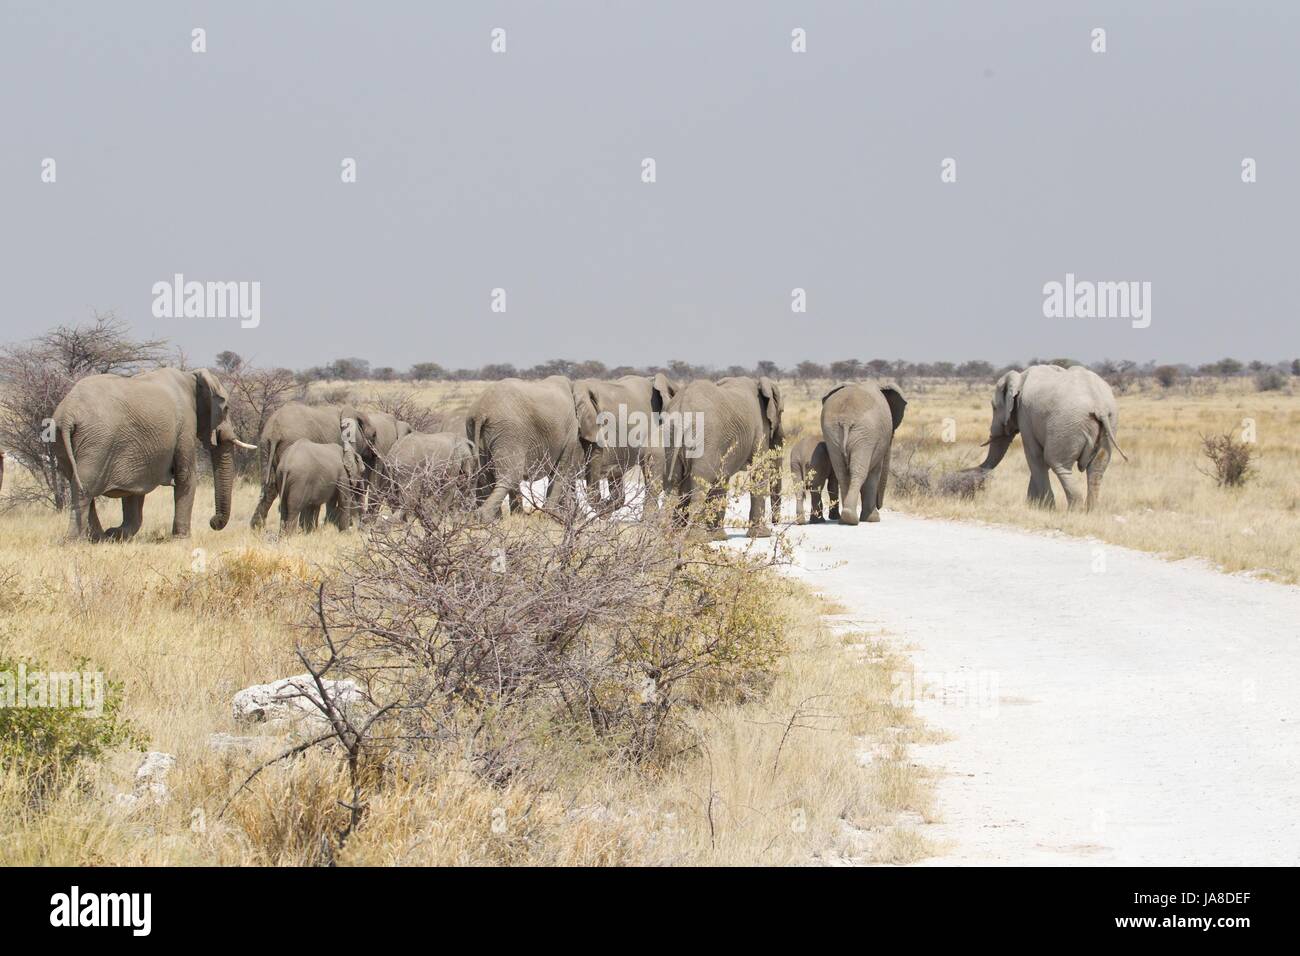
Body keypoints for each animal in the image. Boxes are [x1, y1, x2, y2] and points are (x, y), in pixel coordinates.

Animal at [52, 367, 257, 541]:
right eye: (226, 409)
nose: (213, 521)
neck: (191, 377)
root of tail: (68, 413)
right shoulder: (185, 425)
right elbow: (186, 476)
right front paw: (182, 539)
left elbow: (134, 490)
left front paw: (117, 534)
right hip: (97, 441)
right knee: (84, 487)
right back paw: (76, 541)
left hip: (62, 440)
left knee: (81, 485)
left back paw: (99, 538)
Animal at [465, 376, 592, 521]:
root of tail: (480, 411)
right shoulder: (571, 431)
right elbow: (561, 472)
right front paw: (550, 517)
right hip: (510, 432)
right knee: (511, 475)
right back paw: (486, 518)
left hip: (477, 432)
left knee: (486, 477)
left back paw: (498, 518)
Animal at [663, 376, 783, 540]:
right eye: (781, 412)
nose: (776, 523)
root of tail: (683, 405)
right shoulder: (760, 429)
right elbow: (759, 470)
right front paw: (762, 535)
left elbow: (721, 478)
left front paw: (718, 537)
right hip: (705, 438)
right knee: (699, 485)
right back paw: (696, 538)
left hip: (671, 435)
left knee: (673, 484)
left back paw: (667, 537)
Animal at [820, 382, 907, 525]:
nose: (879, 505)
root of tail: (846, 419)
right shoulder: (874, 441)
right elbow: (874, 473)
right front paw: (873, 519)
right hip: (865, 434)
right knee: (859, 472)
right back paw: (852, 518)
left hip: (833, 434)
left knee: (842, 473)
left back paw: (845, 518)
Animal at [978, 364, 1127, 511]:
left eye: (994, 407)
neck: (1020, 377)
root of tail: (1100, 407)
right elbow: (1041, 461)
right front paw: (1034, 505)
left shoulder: (1025, 415)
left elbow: (1035, 457)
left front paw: (1044, 508)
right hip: (1110, 423)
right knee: (1096, 469)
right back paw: (1091, 511)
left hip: (1066, 423)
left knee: (1057, 463)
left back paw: (1074, 511)